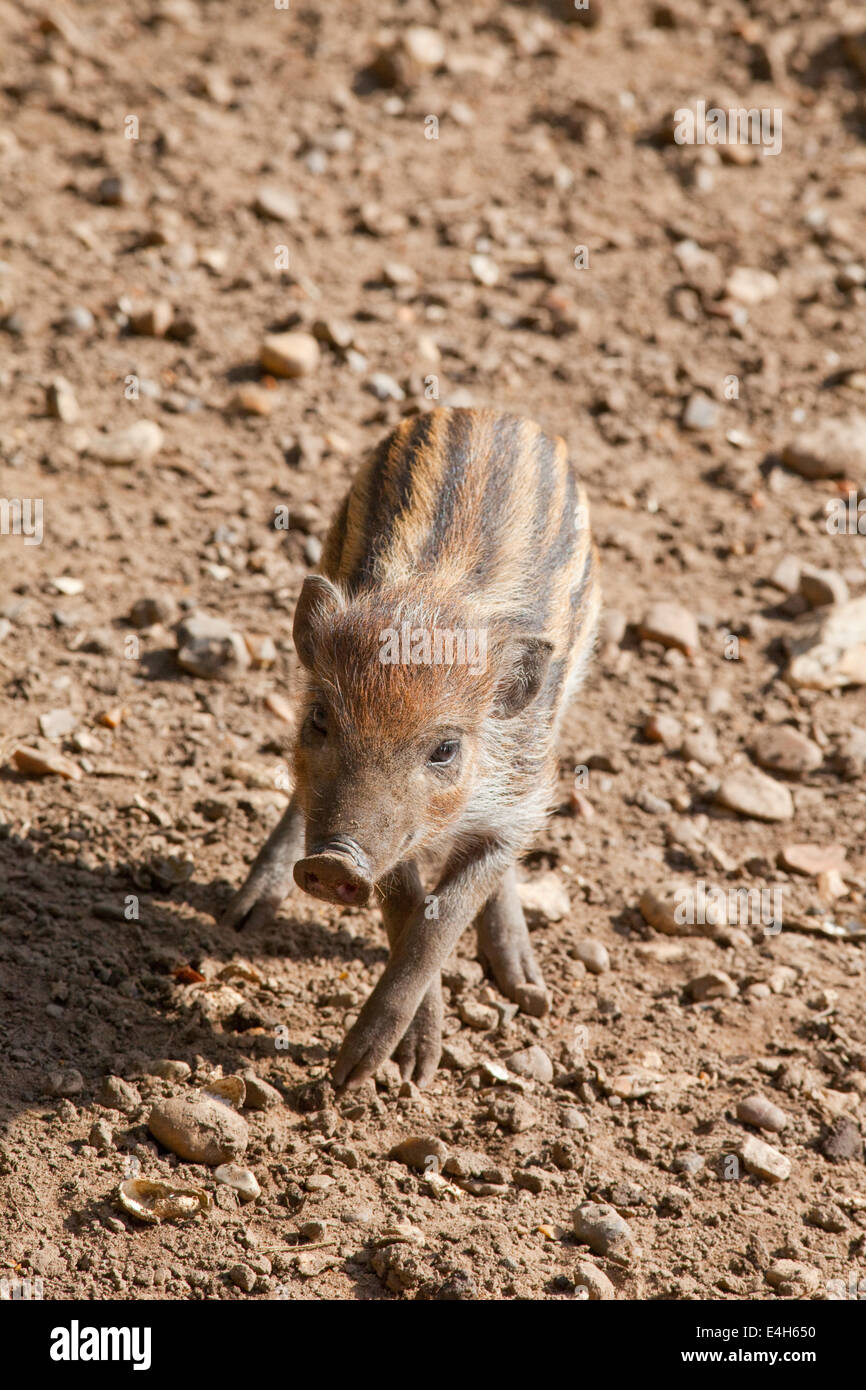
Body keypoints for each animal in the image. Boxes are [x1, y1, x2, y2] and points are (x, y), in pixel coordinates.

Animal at [222, 407, 600, 1087]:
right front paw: (393, 1069)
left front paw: (375, 1074)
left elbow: (439, 921)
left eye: (445, 749)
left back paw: (526, 986)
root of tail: (492, 411)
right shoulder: (390, 837)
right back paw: (244, 916)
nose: (332, 864)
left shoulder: (515, 800)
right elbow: (406, 909)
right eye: (320, 717)